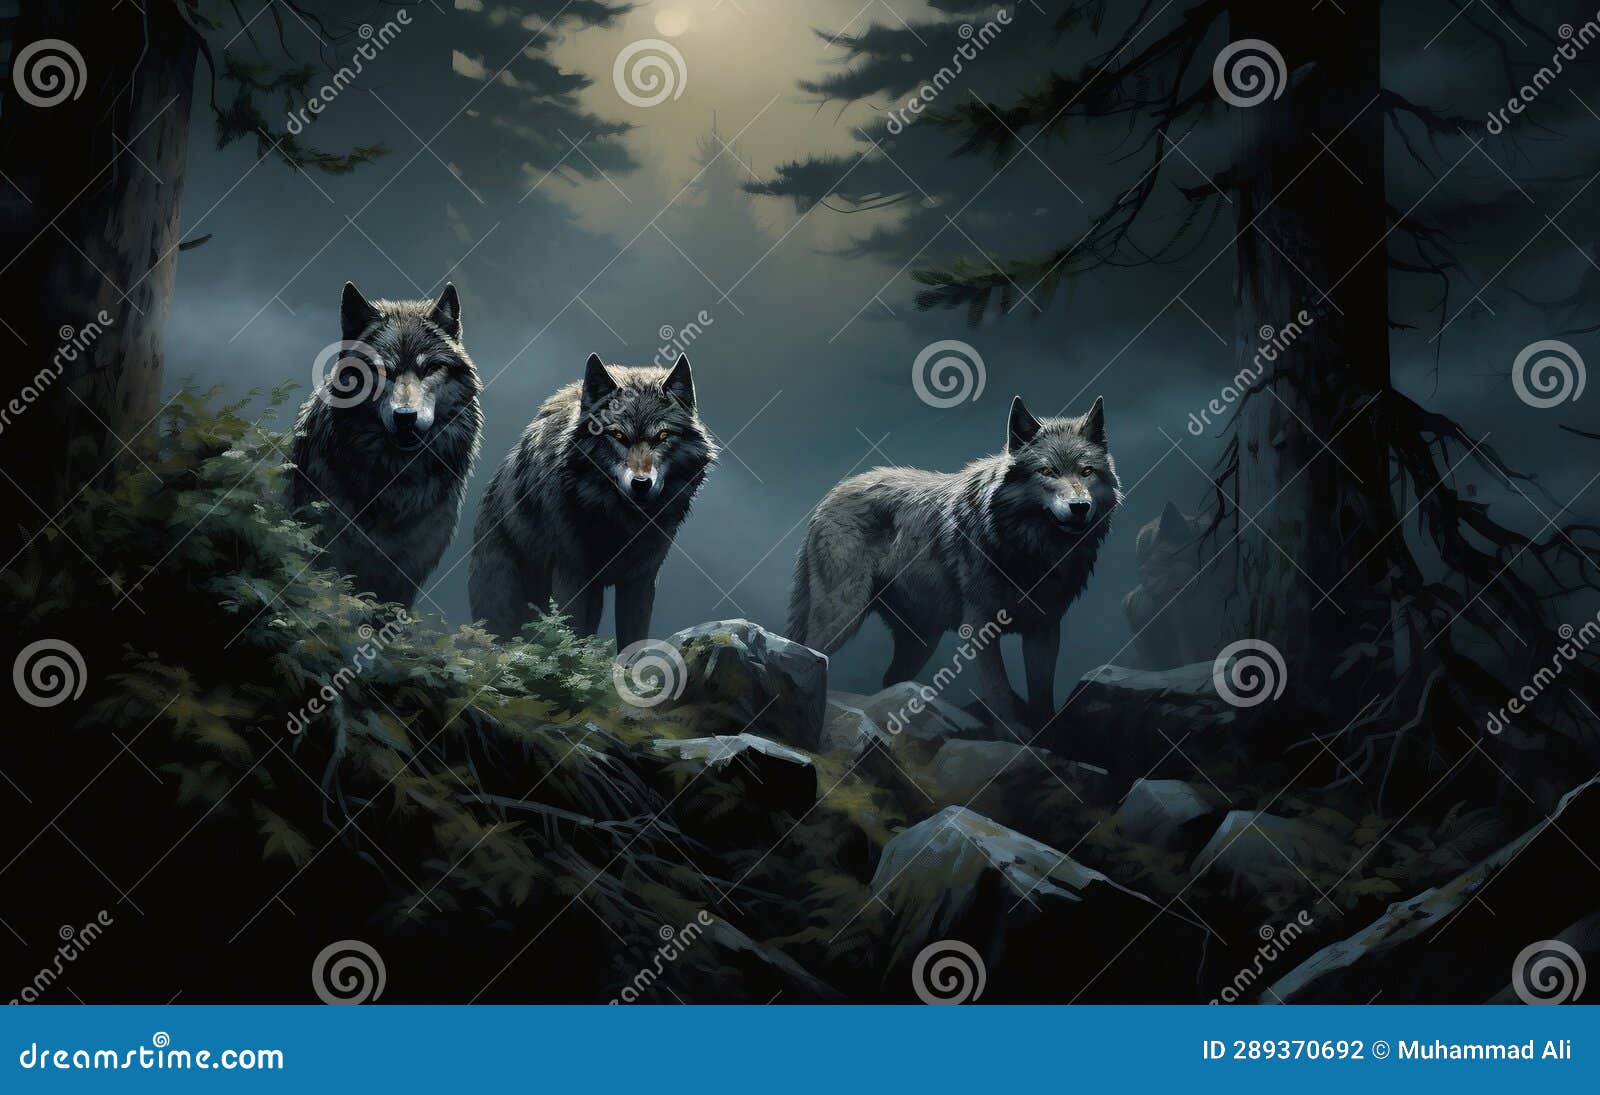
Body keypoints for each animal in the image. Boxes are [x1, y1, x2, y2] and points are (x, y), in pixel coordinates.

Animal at [290, 281, 482, 609]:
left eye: (430, 368)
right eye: (381, 371)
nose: (405, 417)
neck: (396, 488)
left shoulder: (407, 573)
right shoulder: (332, 557)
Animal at [467, 353, 717, 647]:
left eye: (662, 436)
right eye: (617, 435)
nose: (641, 483)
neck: (620, 522)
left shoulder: (641, 580)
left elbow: (634, 639)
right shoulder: (572, 576)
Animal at [788, 396, 1121, 728]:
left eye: (1087, 471)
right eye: (1047, 471)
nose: (1079, 506)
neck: (1029, 551)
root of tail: (830, 496)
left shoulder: (1045, 630)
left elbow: (1042, 699)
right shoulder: (979, 627)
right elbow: (1000, 694)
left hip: (922, 638)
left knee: (890, 679)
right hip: (844, 613)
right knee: (808, 652)